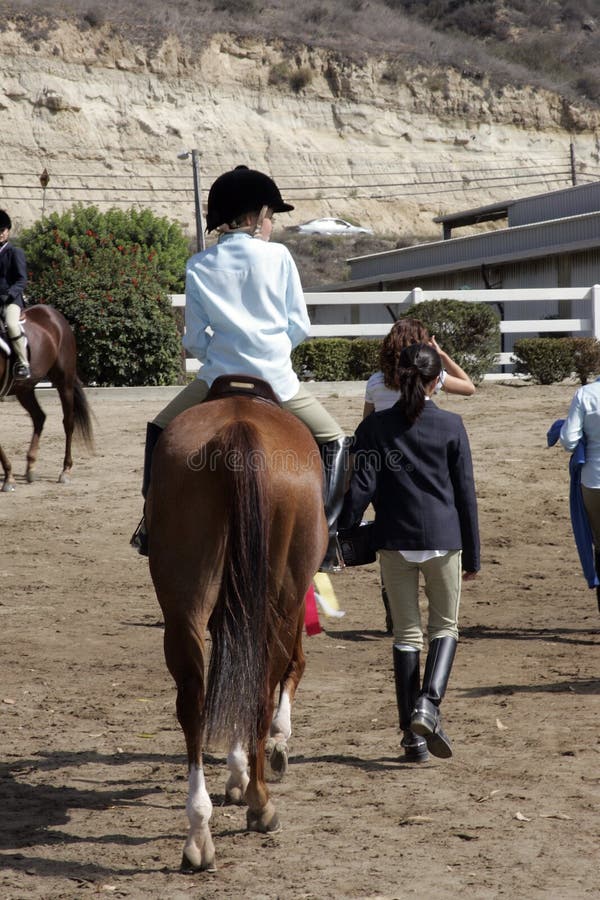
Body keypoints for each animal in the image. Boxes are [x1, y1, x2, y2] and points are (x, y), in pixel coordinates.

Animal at [0, 304, 93, 491]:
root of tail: (52, 312)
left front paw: (9, 478)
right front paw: (9, 476)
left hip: (64, 382)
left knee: (68, 422)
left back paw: (65, 471)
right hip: (24, 388)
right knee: (39, 417)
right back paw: (31, 467)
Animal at [147, 377, 328, 872]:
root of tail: (237, 431)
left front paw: (234, 773)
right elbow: (280, 677)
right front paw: (262, 761)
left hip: (184, 606)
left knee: (193, 699)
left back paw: (198, 832)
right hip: (280, 603)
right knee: (262, 688)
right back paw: (260, 804)